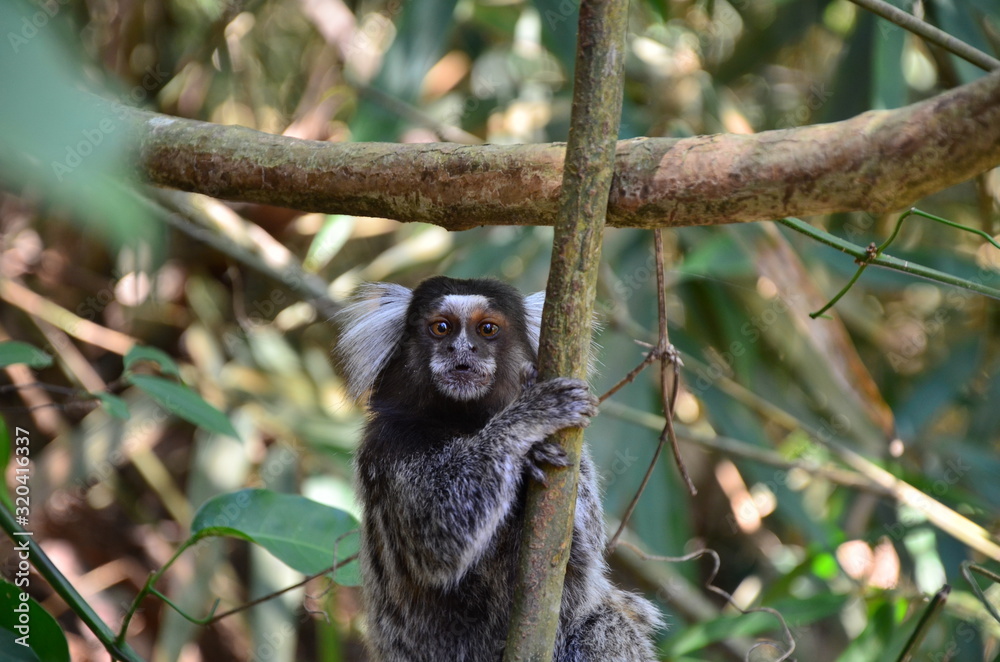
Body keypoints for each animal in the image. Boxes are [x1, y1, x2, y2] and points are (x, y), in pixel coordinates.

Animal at [337, 276, 662, 662]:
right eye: (441, 327)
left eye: (487, 329)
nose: (462, 350)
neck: (463, 422)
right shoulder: (388, 447)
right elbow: (440, 530)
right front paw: (530, 416)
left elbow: (579, 558)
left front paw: (535, 451)